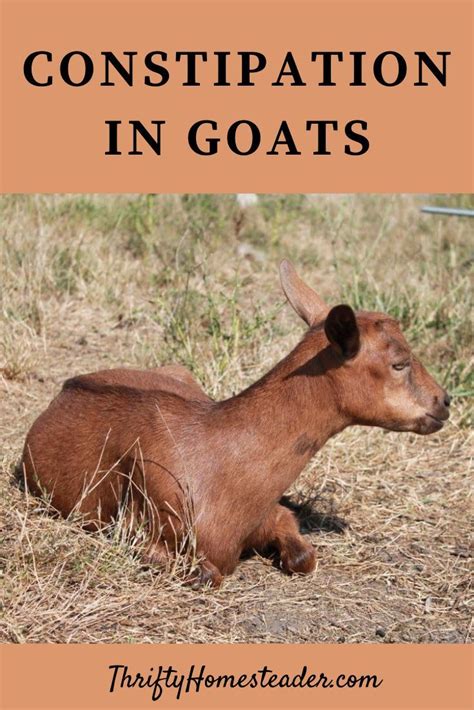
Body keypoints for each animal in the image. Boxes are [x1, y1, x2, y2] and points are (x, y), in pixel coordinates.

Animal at [20, 260, 451, 586]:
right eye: (400, 363)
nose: (444, 402)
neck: (225, 460)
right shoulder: (143, 527)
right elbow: (207, 574)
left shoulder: (271, 511)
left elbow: (303, 555)